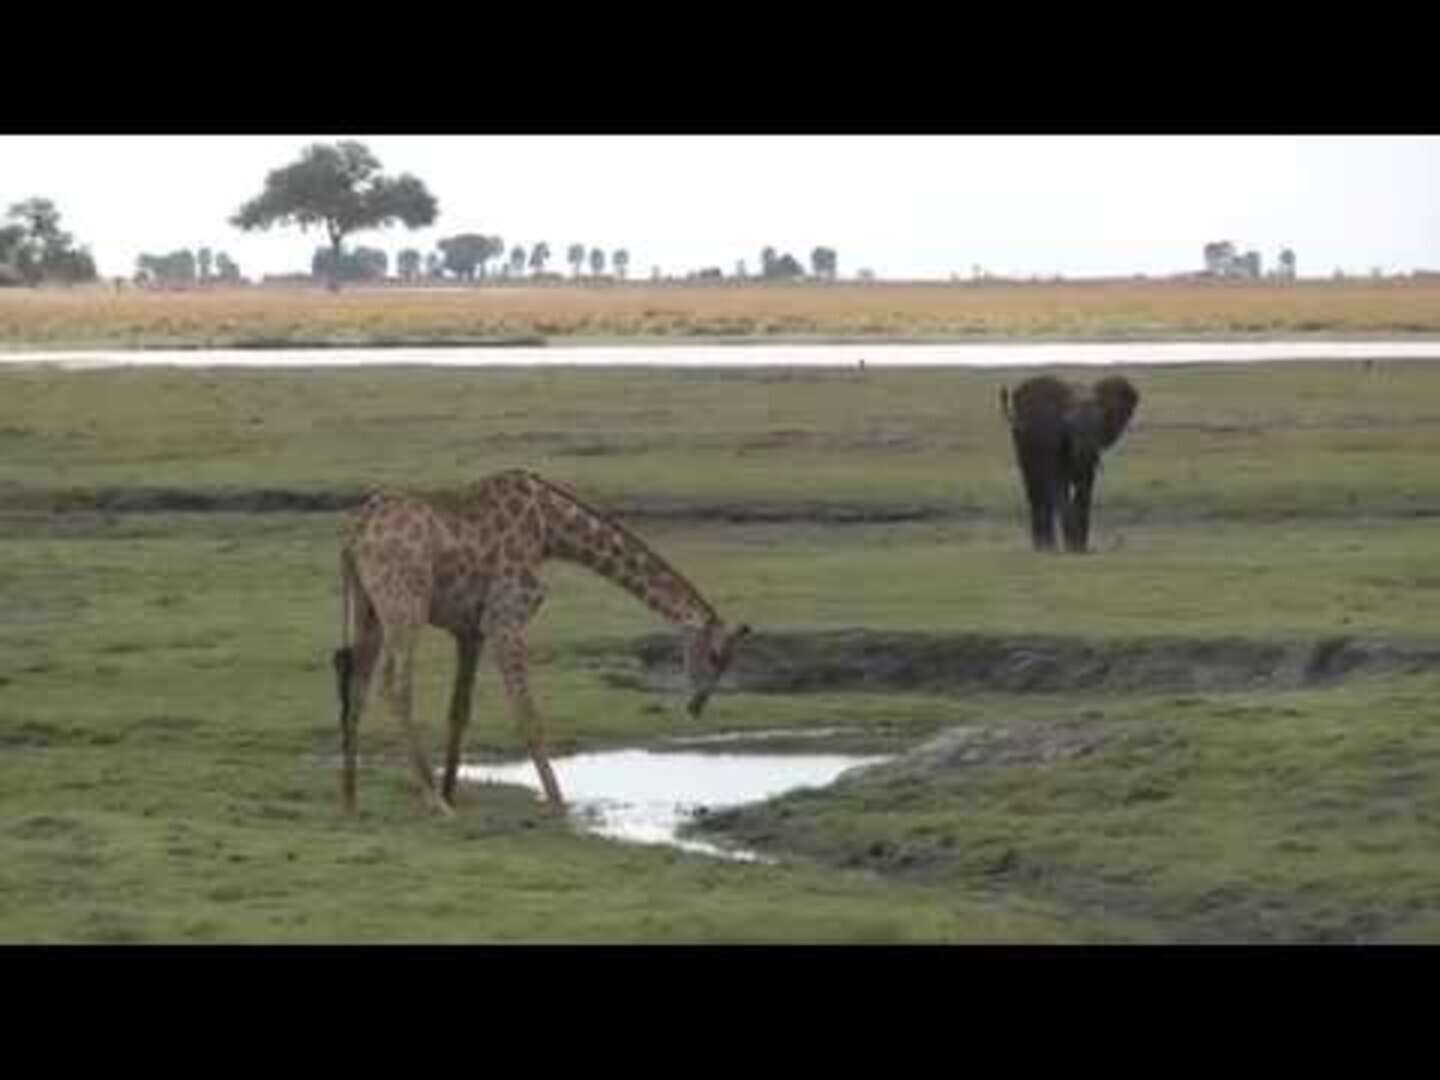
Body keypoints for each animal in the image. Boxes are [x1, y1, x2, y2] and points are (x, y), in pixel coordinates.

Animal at [330, 468, 751, 818]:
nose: (697, 706)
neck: (551, 530)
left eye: (728, 660)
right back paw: (431, 801)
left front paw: (453, 791)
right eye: (715, 655)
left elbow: (459, 712)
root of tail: (354, 533)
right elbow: (528, 714)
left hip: (369, 608)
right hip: (405, 605)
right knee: (394, 684)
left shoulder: (471, 630)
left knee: (358, 682)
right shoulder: (505, 620)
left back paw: (351, 799)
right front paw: (557, 801)